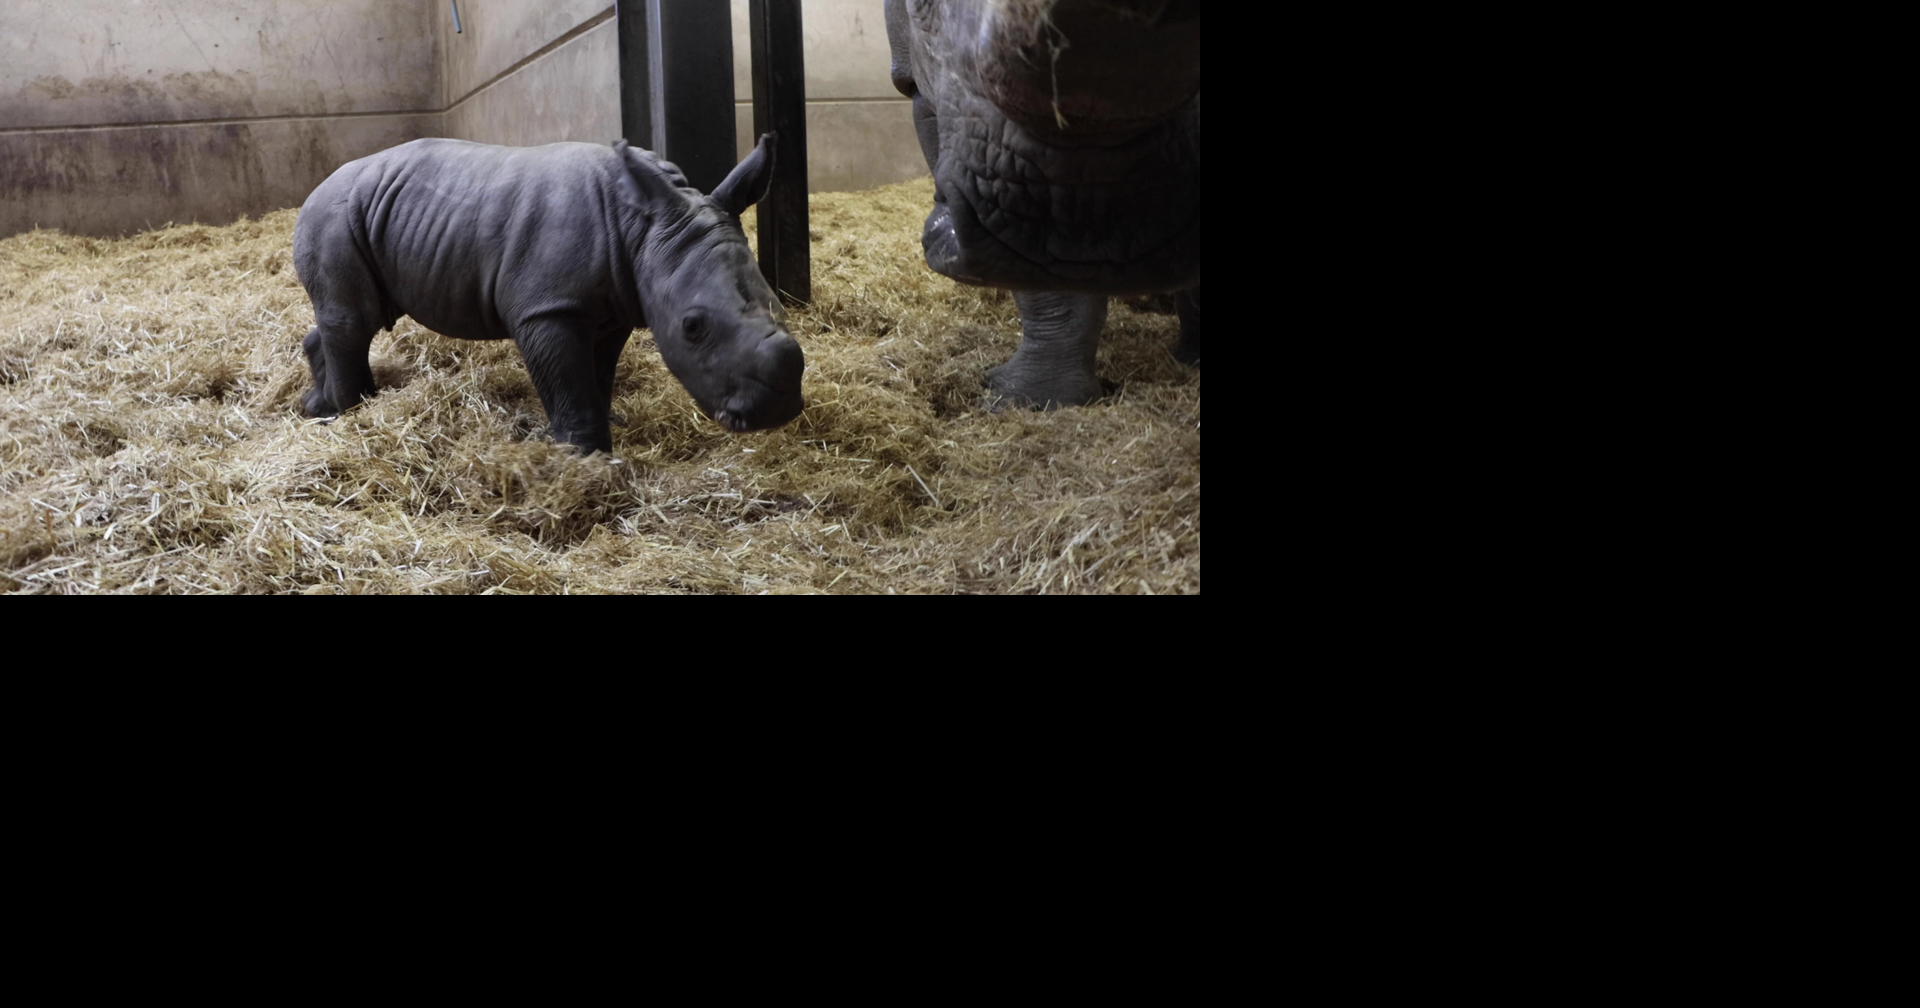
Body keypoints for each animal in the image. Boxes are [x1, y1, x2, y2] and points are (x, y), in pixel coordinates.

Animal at [292, 133, 803, 453]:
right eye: (692, 327)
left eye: (777, 302)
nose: (776, 411)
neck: (643, 229)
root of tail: (312, 192)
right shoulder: (548, 309)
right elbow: (568, 384)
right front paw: (583, 457)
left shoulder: (612, 310)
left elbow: (599, 373)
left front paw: (600, 431)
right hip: (333, 216)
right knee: (354, 319)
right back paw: (352, 412)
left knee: (356, 317)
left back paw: (317, 408)